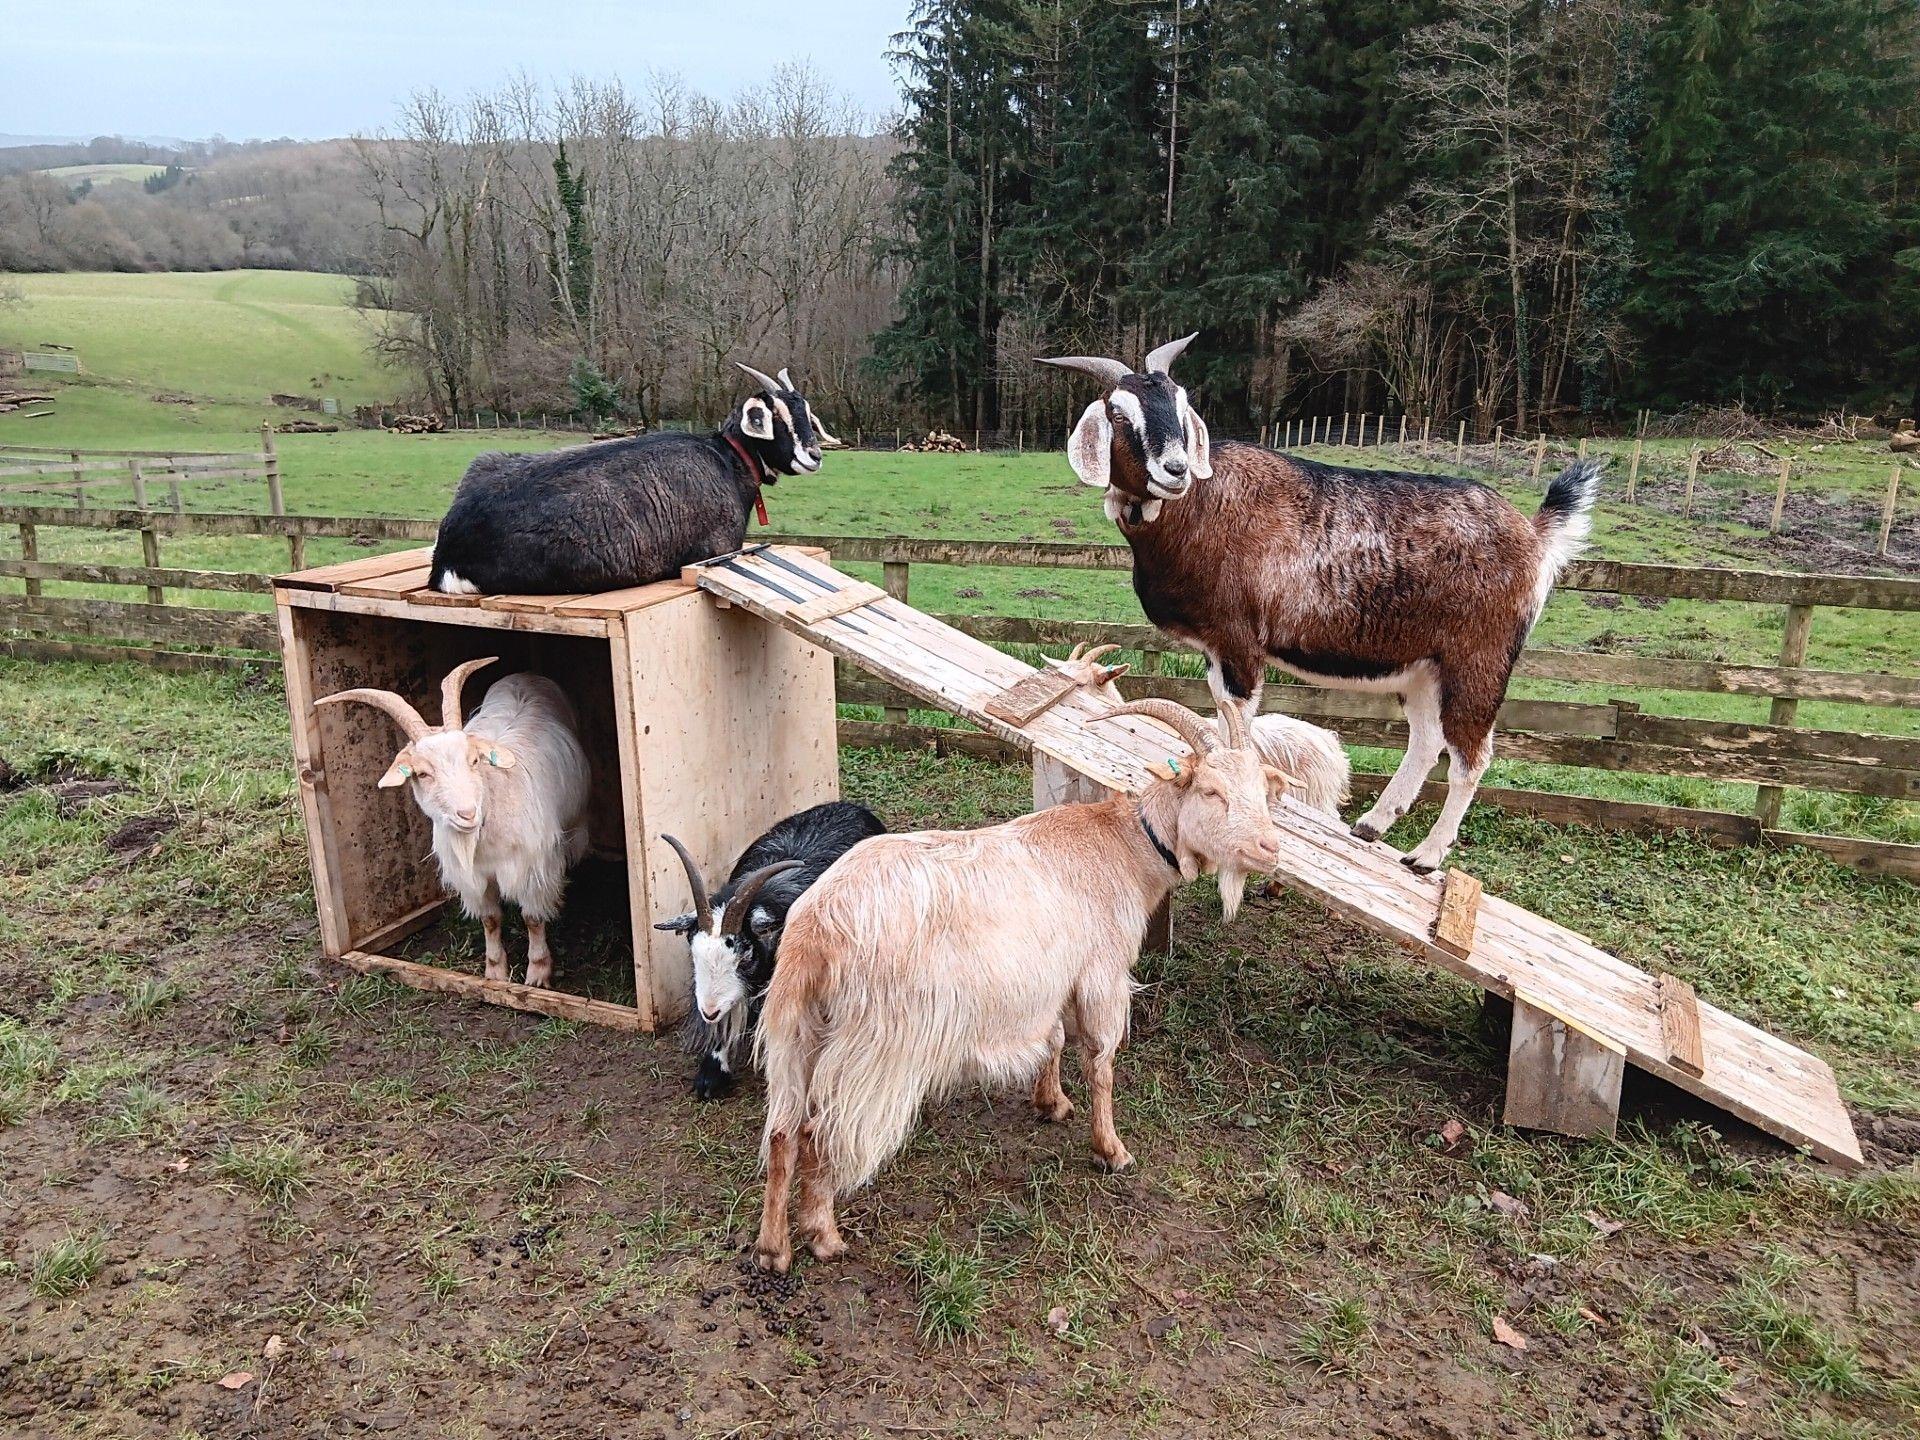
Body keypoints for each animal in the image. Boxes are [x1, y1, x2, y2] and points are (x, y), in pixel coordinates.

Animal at [315, 658, 591, 986]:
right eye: (422, 773)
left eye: (474, 760)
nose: (467, 814)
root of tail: (526, 675)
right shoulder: (473, 877)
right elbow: (490, 919)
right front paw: (495, 972)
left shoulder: (533, 868)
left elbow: (532, 918)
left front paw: (537, 975)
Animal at [429, 364, 840, 596]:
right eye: (774, 418)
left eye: (807, 415)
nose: (814, 456)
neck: (726, 459)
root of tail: (448, 550)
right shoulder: (715, 549)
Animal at [750, 700, 1287, 1274]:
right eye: (1210, 790)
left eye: (1261, 789)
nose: (1268, 848)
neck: (1124, 848)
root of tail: (817, 930)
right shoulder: (1100, 974)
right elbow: (1100, 1064)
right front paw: (1111, 1149)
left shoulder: (1053, 977)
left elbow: (1053, 1038)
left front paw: (1051, 1103)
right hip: (877, 1045)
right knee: (820, 1133)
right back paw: (823, 1235)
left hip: (794, 1030)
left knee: (782, 1134)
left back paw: (773, 1248)